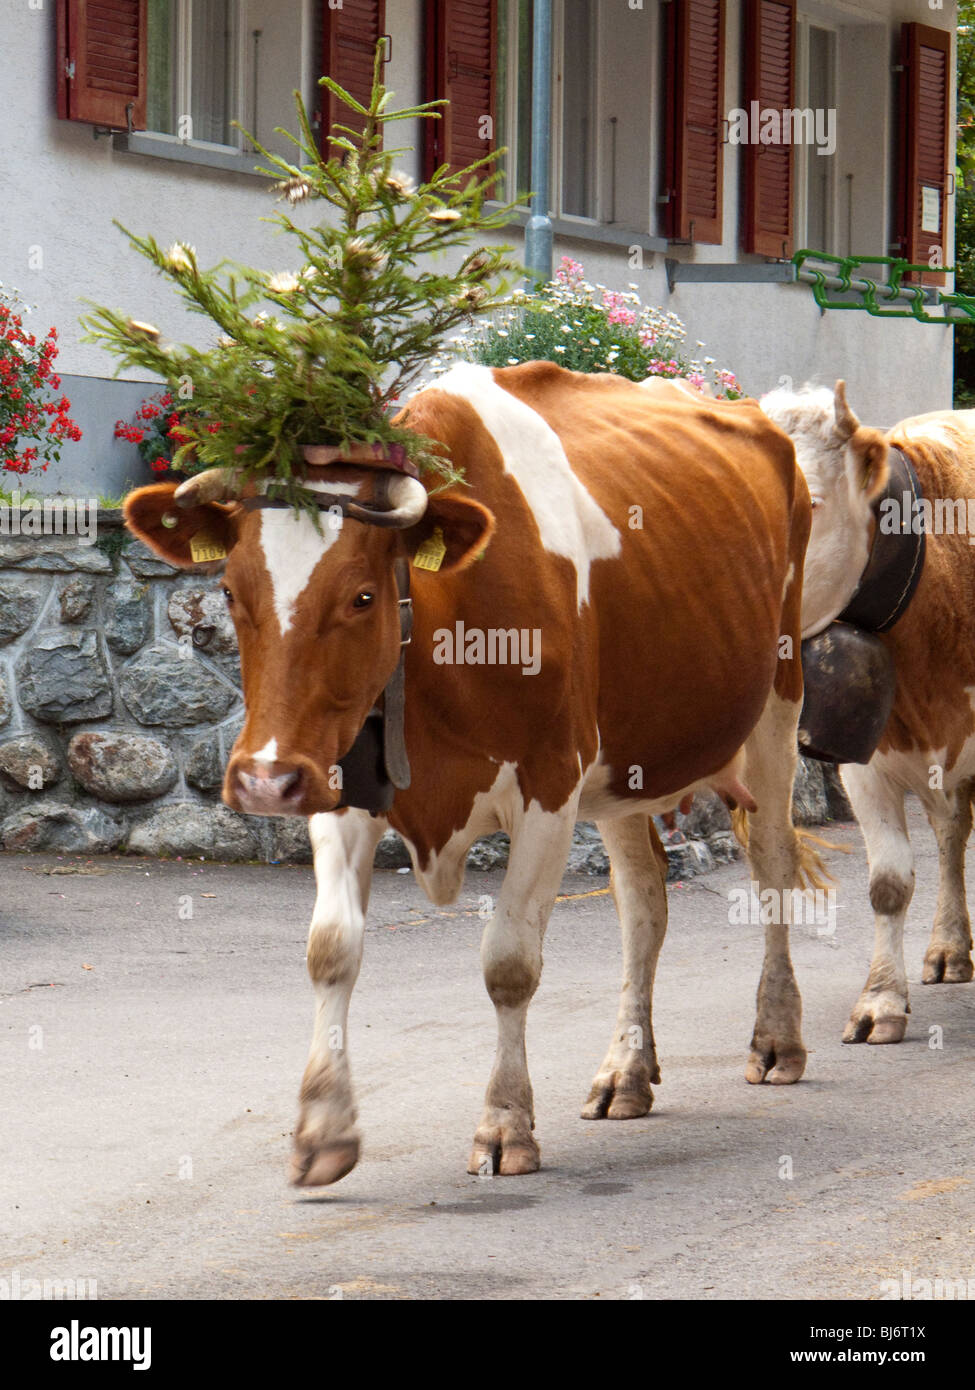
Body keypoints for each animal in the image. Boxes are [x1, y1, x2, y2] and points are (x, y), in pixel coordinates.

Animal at [124, 360, 819, 1185]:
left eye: (361, 596)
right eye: (230, 592)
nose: (264, 781)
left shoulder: (550, 784)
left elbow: (509, 964)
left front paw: (504, 1124)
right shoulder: (339, 783)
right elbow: (331, 948)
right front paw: (323, 1129)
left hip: (776, 700)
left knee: (771, 863)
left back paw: (776, 1038)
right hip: (626, 762)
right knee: (644, 902)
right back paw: (625, 1072)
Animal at [761, 381, 975, 1045]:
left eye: (812, 504)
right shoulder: (865, 761)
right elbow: (888, 883)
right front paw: (881, 1000)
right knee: (952, 834)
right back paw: (949, 949)